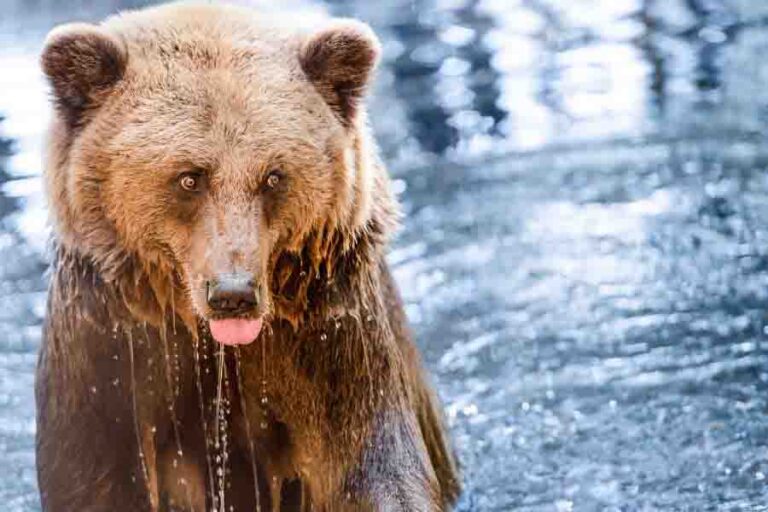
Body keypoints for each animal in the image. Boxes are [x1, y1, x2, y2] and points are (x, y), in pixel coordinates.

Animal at [35, 2, 460, 511]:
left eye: (274, 176)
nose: (233, 293)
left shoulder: (332, 334)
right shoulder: (112, 349)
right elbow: (99, 474)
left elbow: (370, 466)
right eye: (190, 177)